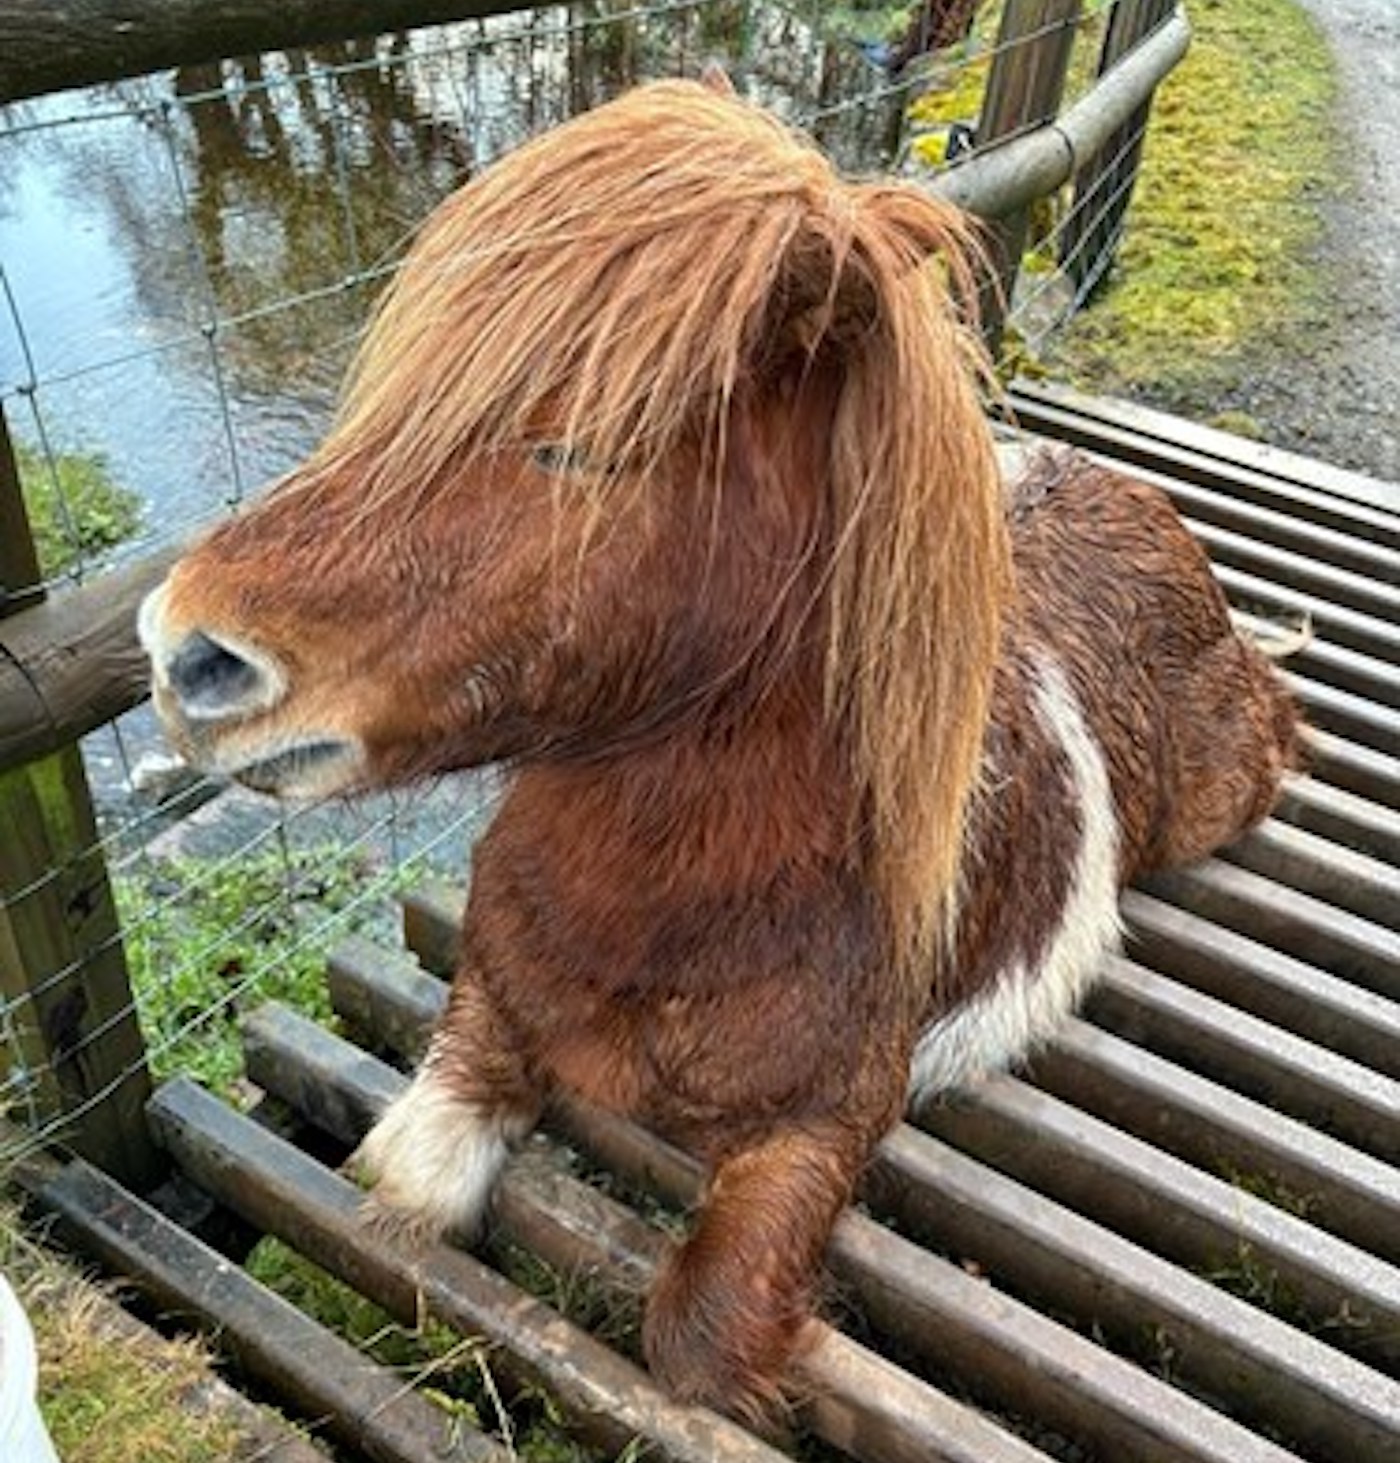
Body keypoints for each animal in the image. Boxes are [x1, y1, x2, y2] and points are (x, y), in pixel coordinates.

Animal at [139, 75, 1298, 1424]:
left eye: (580, 443)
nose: (187, 654)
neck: (668, 926)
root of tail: (1116, 490)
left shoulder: (823, 1124)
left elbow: (699, 1329)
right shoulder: (486, 1001)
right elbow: (414, 1168)